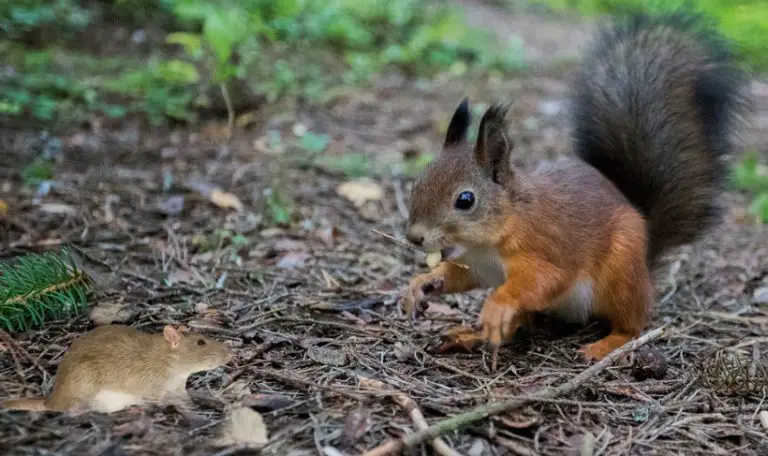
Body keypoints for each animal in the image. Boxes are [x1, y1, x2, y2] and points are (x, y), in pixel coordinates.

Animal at [399, 11, 749, 361]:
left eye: (465, 200)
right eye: (417, 182)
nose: (414, 237)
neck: (497, 233)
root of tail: (646, 252)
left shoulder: (544, 247)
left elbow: (543, 280)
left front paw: (497, 304)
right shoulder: (479, 266)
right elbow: (459, 275)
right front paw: (423, 282)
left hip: (621, 274)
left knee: (632, 324)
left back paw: (605, 344)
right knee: (522, 325)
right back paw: (468, 336)